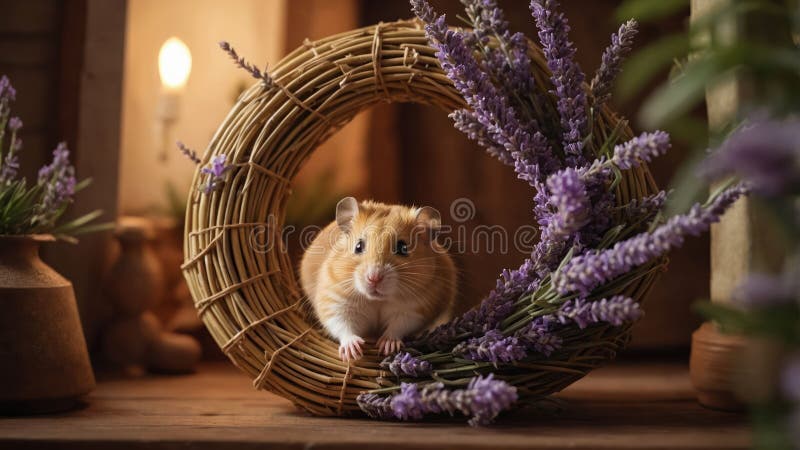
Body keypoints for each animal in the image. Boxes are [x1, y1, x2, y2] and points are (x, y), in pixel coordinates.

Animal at [300, 197, 457, 362]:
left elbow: (398, 327)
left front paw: (386, 347)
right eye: (358, 246)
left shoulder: (414, 310)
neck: (377, 300)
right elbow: (343, 325)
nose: (373, 278)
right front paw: (353, 352)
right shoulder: (334, 302)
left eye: (403, 248)